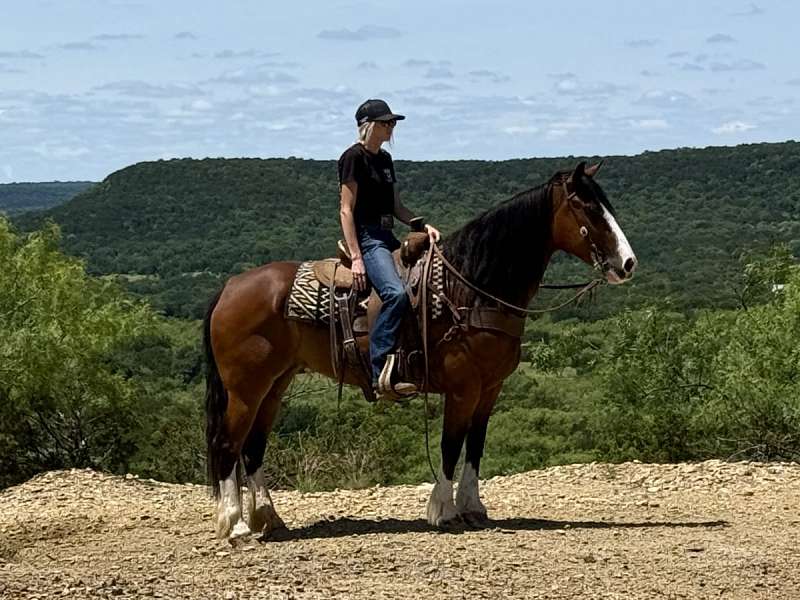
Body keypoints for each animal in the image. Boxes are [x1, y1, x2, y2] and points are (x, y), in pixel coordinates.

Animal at [204, 161, 637, 541]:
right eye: (587, 206)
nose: (628, 263)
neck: (470, 289)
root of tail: (230, 286)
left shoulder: (490, 388)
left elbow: (475, 446)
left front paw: (473, 507)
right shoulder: (462, 389)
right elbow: (450, 445)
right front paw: (443, 510)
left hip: (275, 385)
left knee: (253, 447)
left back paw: (268, 518)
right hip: (246, 389)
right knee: (228, 444)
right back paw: (237, 526)